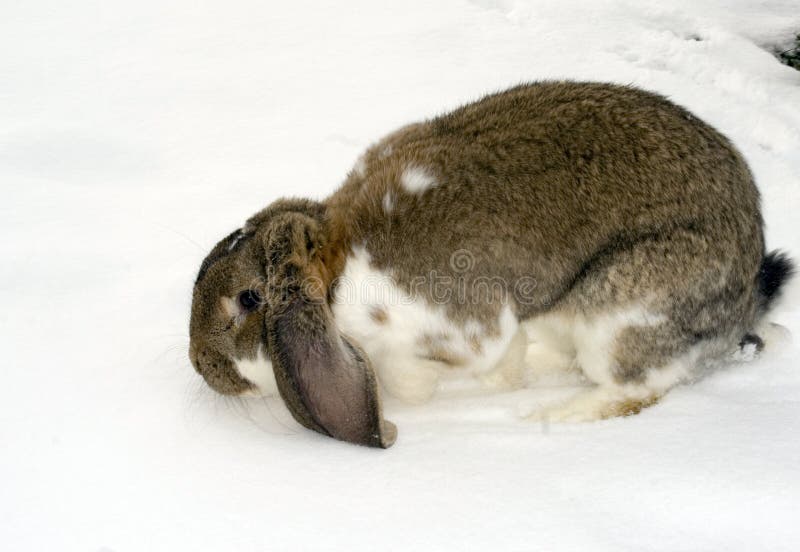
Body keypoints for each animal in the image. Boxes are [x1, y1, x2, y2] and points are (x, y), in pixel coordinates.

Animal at [188, 81, 794, 448]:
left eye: (247, 299)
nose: (201, 365)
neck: (339, 271)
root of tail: (744, 300)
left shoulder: (458, 331)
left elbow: (428, 375)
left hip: (624, 317)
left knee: (635, 389)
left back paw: (554, 414)